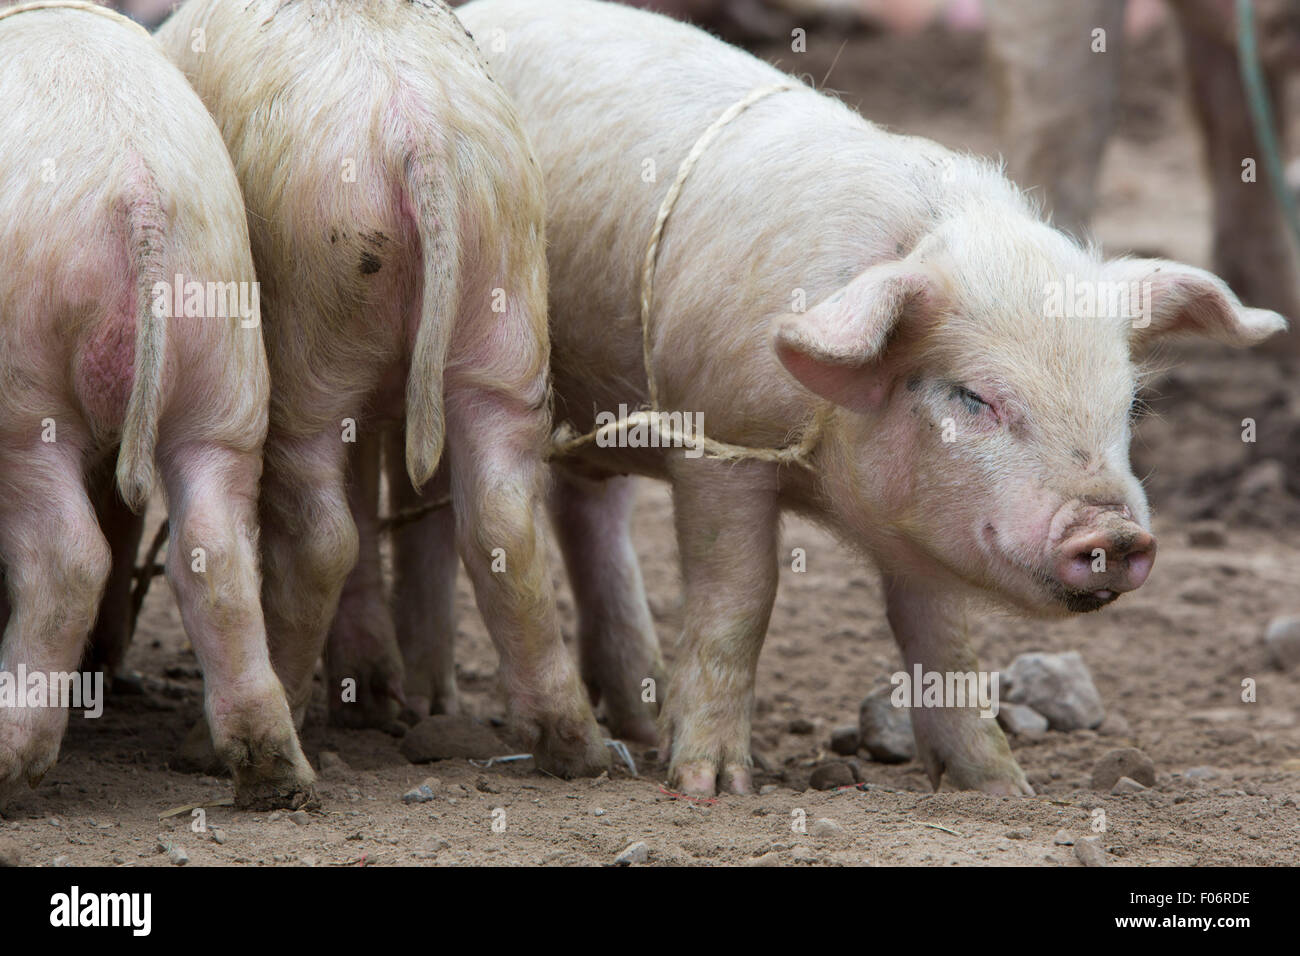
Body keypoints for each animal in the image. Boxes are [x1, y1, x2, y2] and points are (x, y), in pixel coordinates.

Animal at [0, 1, 312, 807]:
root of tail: (138, 192)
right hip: (228, 372)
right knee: (214, 553)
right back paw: (274, 778)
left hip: (23, 399)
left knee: (70, 558)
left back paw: (10, 771)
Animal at [155, 0, 610, 776]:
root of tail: (418, 137)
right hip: (508, 310)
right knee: (505, 522)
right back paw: (579, 751)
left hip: (310, 335)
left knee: (324, 536)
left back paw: (216, 746)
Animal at [452, 0, 1287, 796]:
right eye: (973, 397)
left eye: (1133, 408)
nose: (1113, 531)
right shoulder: (719, 438)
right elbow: (740, 600)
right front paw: (710, 785)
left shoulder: (933, 522)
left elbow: (943, 637)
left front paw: (1002, 788)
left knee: (586, 509)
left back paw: (641, 719)